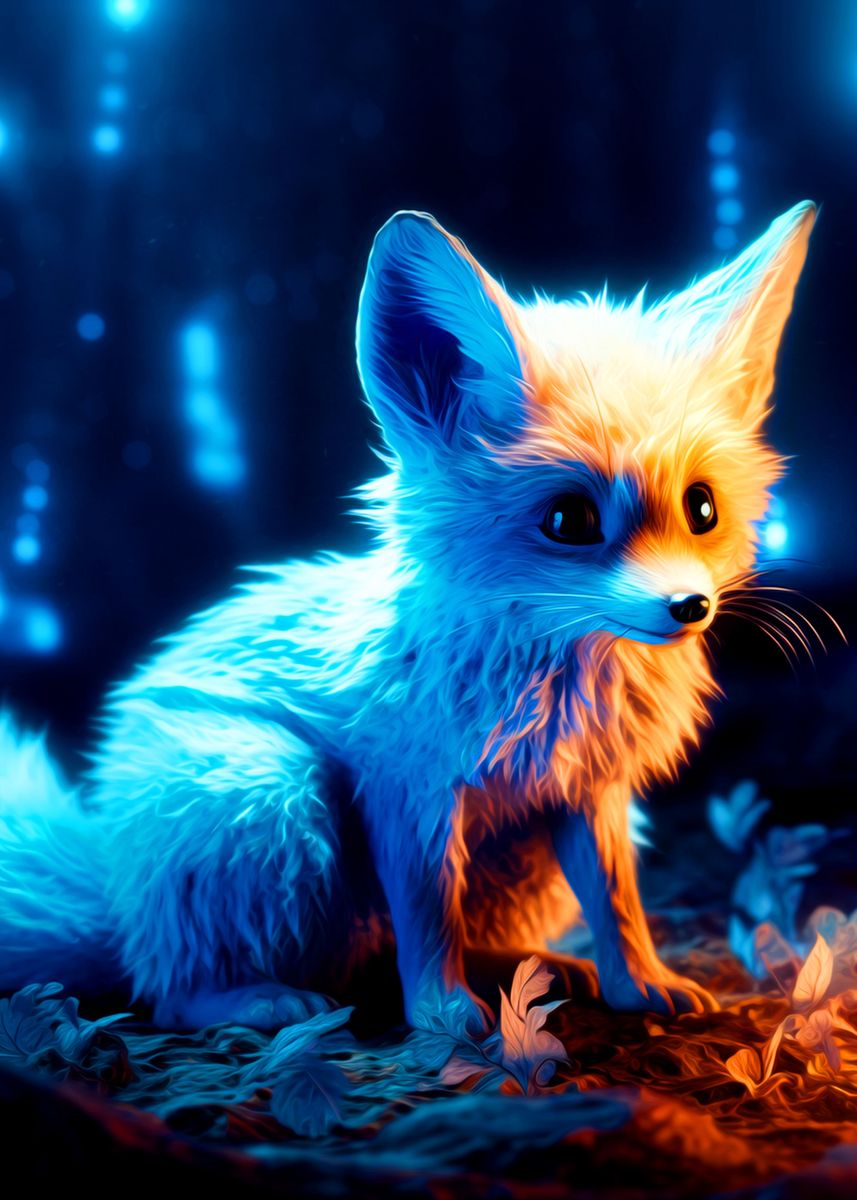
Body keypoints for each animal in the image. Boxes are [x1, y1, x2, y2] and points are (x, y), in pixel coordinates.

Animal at [0, 200, 815, 1036]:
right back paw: (258, 998)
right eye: (570, 520)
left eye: (701, 508)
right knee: (169, 991)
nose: (689, 607)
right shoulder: (407, 787)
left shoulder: (588, 790)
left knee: (378, 952)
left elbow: (616, 902)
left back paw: (539, 969)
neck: (547, 681)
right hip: (264, 788)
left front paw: (642, 986)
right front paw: (442, 1014)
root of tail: (119, 891)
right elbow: (428, 915)